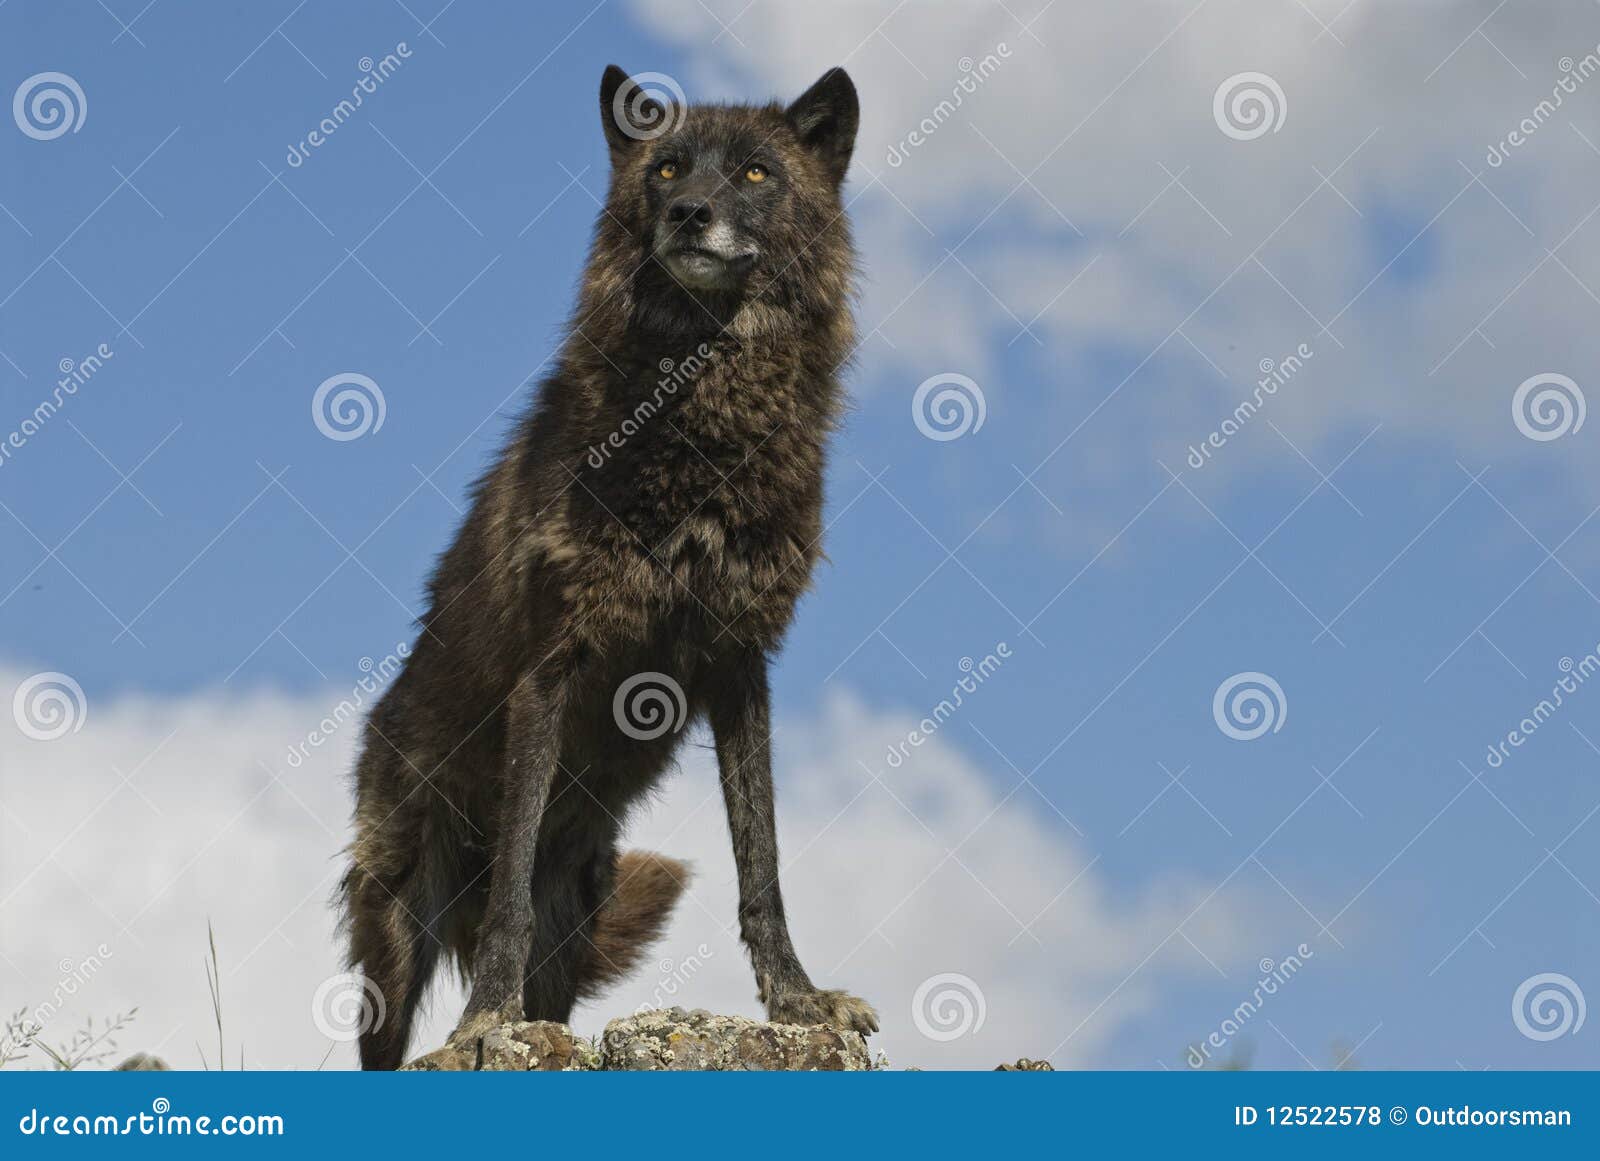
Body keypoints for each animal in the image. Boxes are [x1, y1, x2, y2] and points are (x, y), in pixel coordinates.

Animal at [338, 65, 875, 1069]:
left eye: (753, 172)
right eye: (666, 169)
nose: (692, 212)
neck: (704, 421)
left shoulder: (742, 667)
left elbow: (763, 864)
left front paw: (797, 998)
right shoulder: (552, 668)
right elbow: (507, 891)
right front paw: (484, 1021)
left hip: (578, 914)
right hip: (393, 928)